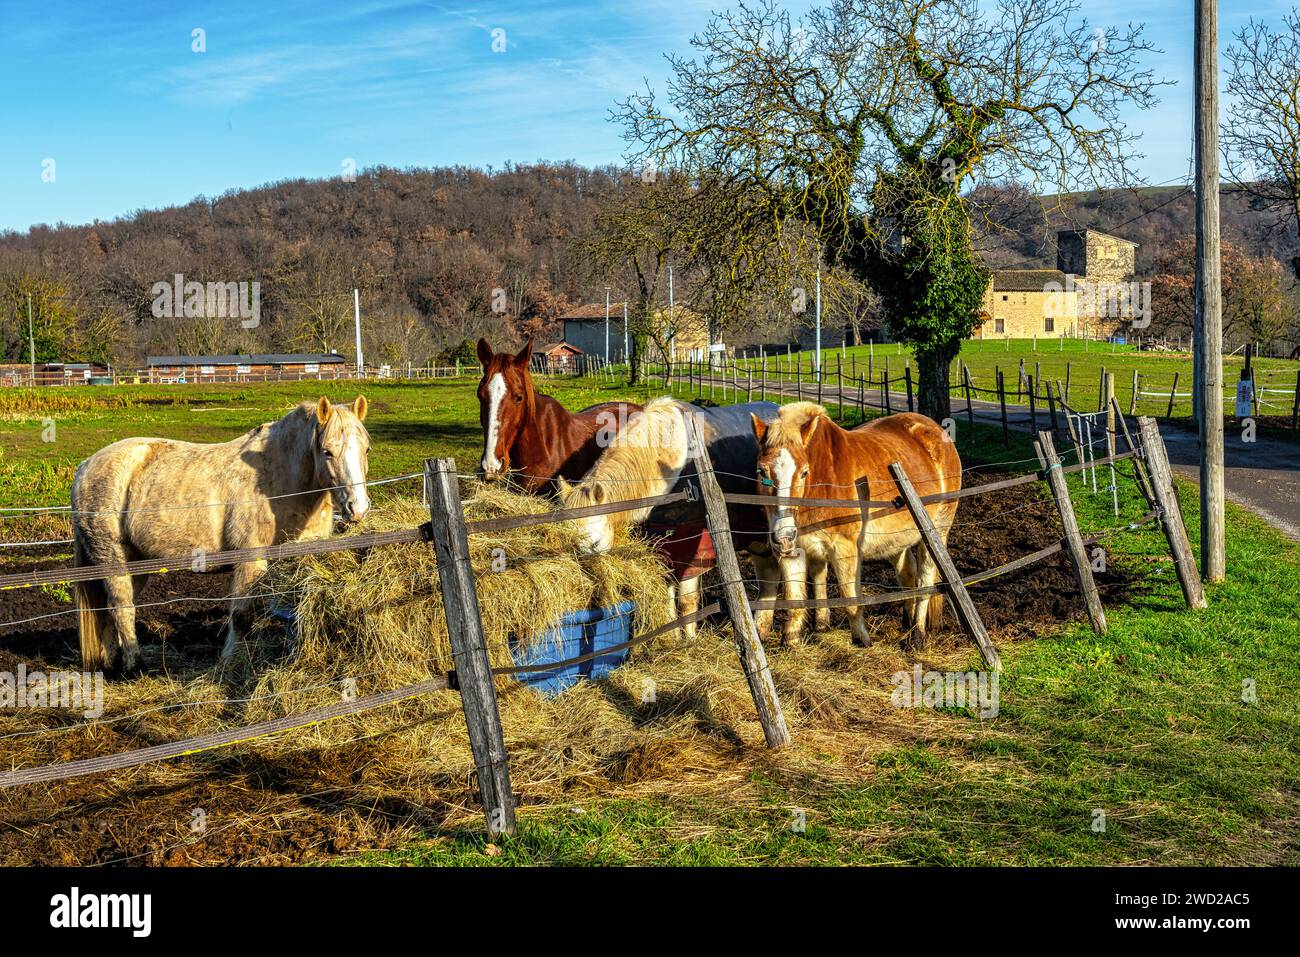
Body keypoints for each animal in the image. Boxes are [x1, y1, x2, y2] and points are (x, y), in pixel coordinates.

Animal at [71, 396, 372, 674]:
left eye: (366, 448)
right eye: (327, 451)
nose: (357, 508)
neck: (280, 481)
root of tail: (85, 466)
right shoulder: (250, 562)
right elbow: (241, 616)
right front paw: (230, 663)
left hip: (138, 563)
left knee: (108, 610)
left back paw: (111, 664)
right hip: (114, 560)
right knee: (121, 608)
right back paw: (135, 666)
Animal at [557, 396, 785, 637]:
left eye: (595, 543)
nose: (585, 589)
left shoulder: (692, 554)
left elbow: (687, 602)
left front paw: (691, 639)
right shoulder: (663, 552)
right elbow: (667, 600)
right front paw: (673, 638)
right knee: (769, 575)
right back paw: (760, 628)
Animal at [751, 403, 961, 647]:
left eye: (804, 472)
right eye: (761, 471)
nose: (783, 536)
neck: (821, 485)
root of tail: (936, 431)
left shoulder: (845, 549)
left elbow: (850, 598)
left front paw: (863, 641)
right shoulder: (793, 552)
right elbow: (794, 601)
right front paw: (791, 643)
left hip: (936, 531)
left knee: (925, 579)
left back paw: (917, 635)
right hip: (896, 540)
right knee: (908, 574)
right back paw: (907, 624)